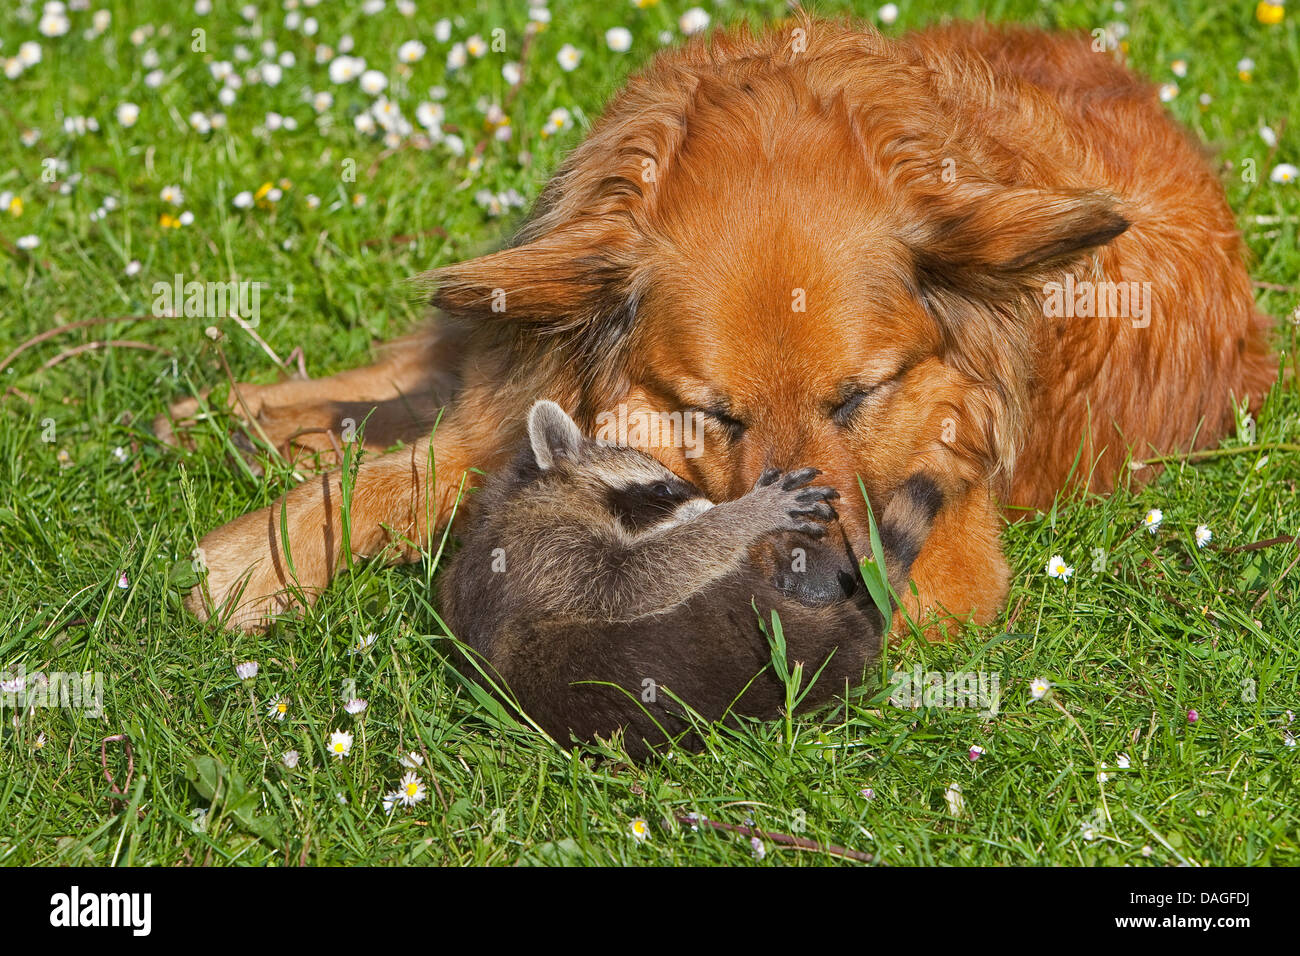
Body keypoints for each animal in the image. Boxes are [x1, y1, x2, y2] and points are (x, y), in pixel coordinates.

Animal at [440, 400, 942, 759]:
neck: (528, 494)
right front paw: (746, 515)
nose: (712, 503)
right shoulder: (546, 551)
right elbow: (628, 581)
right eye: (664, 488)